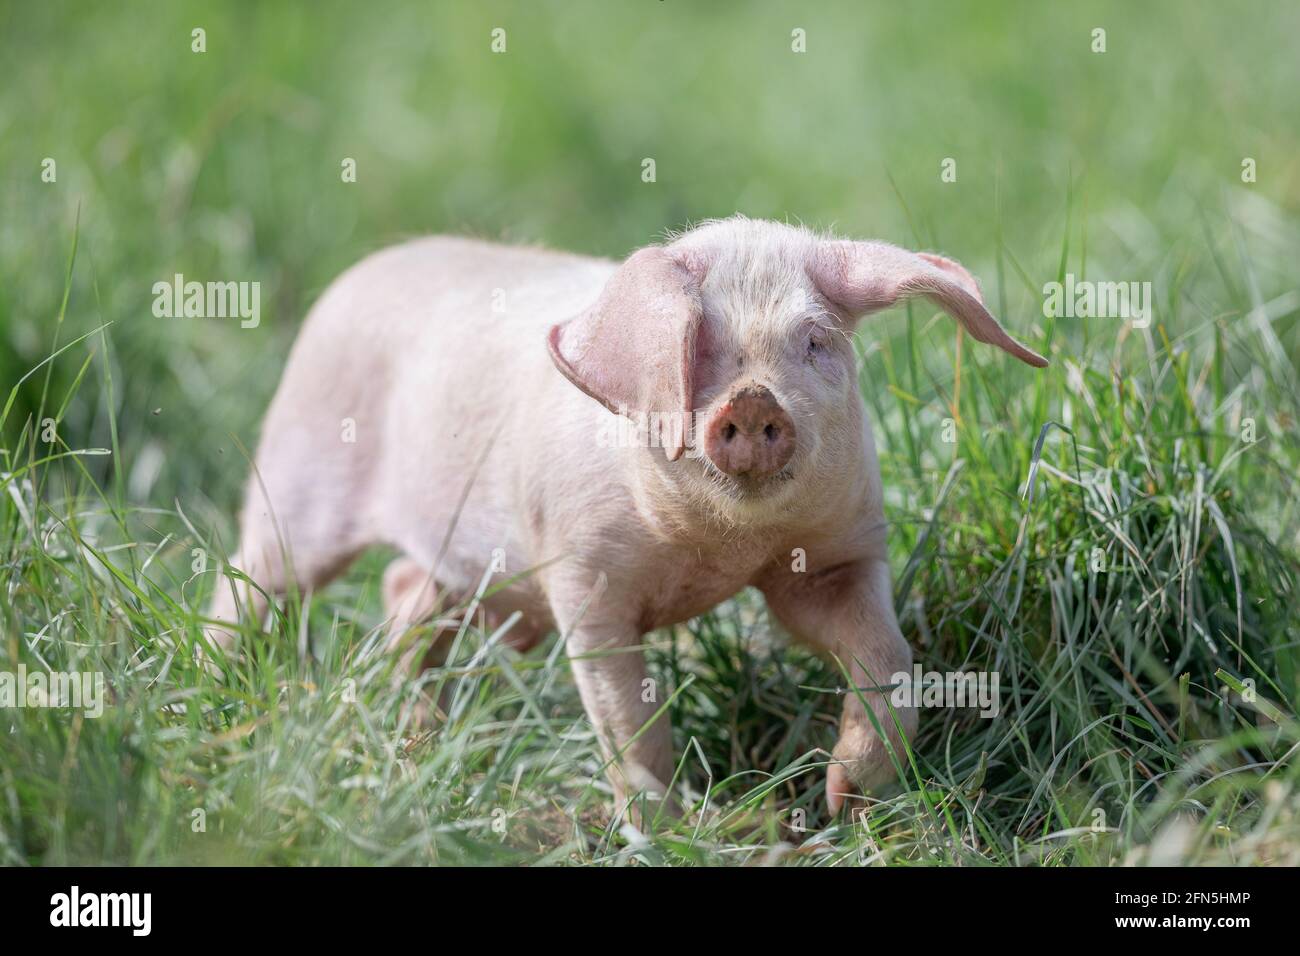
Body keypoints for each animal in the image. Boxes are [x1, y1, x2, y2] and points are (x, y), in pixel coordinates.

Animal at [205, 216, 1047, 817]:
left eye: (815, 341)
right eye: (696, 348)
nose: (753, 401)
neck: (717, 546)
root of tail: (362, 272)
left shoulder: (839, 552)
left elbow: (887, 655)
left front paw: (849, 802)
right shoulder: (585, 575)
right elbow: (625, 711)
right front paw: (667, 826)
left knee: (407, 593)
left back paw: (415, 740)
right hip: (298, 475)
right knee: (253, 582)